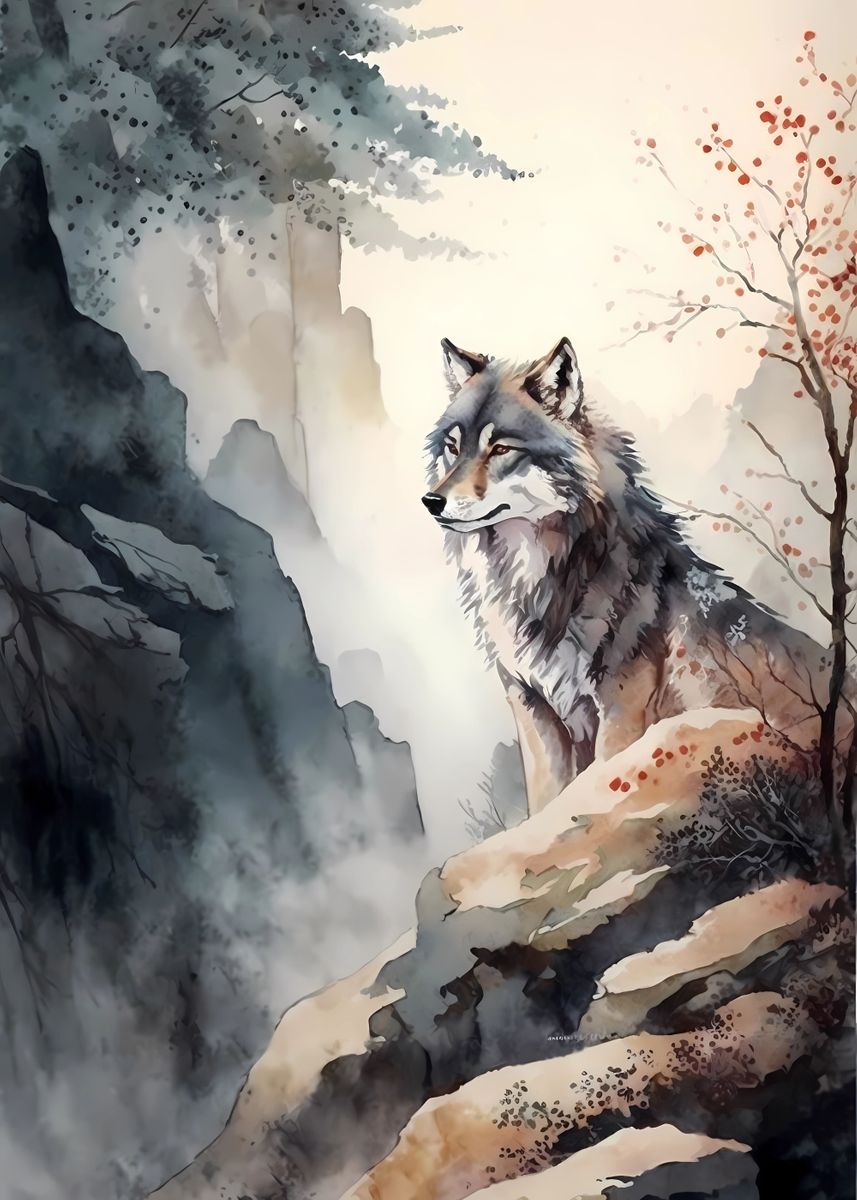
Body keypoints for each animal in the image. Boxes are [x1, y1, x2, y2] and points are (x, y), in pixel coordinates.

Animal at [424, 336, 849, 813]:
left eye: (500, 450)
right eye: (453, 447)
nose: (431, 501)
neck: (540, 576)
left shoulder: (620, 710)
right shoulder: (533, 707)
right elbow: (545, 801)